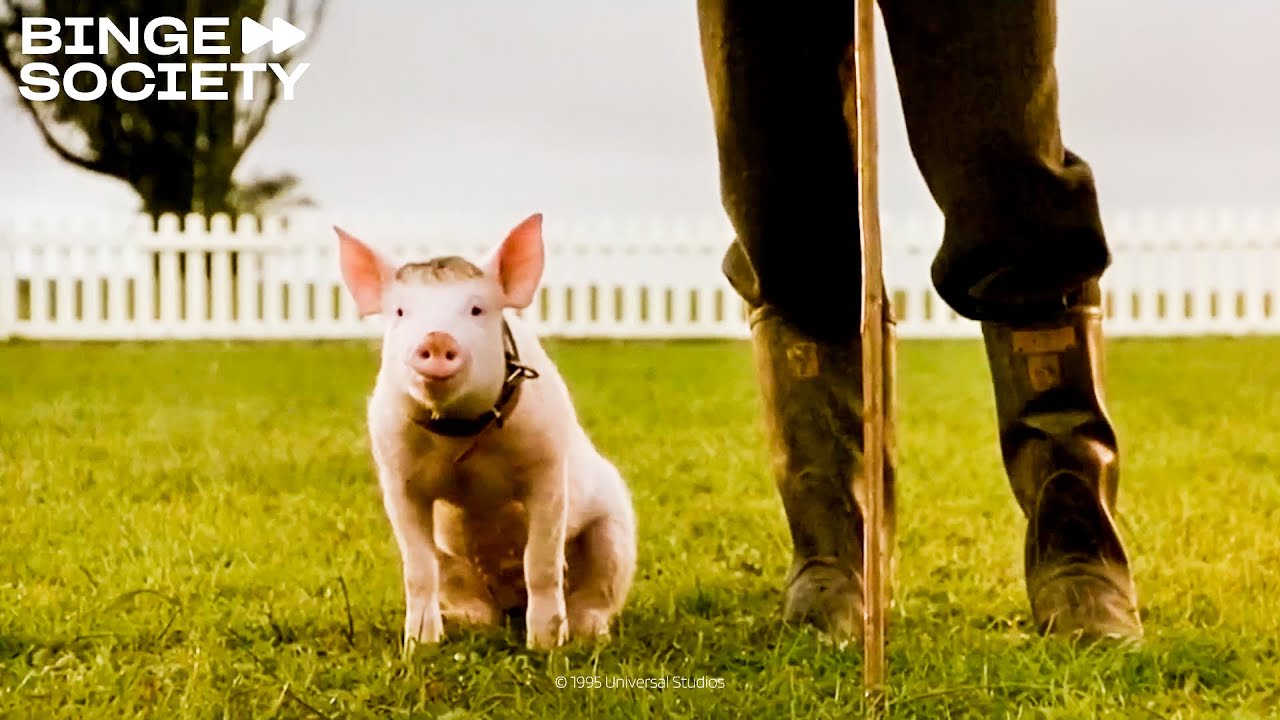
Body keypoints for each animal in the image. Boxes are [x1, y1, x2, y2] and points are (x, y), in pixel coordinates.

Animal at [333, 213, 637, 652]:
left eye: (477, 309)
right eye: (401, 312)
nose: (436, 338)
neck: (459, 433)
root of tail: (509, 604)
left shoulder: (548, 468)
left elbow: (541, 562)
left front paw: (546, 647)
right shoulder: (398, 478)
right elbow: (418, 570)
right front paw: (419, 647)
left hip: (614, 533)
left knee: (599, 592)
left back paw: (585, 633)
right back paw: (470, 625)